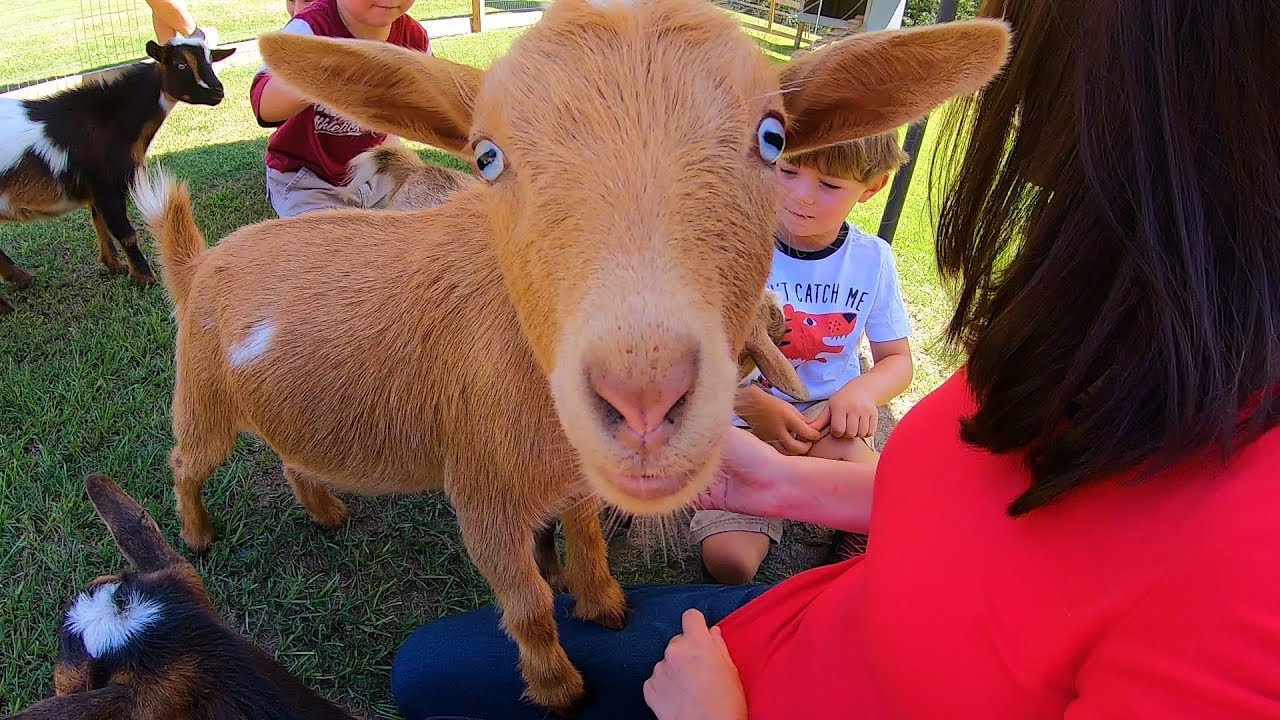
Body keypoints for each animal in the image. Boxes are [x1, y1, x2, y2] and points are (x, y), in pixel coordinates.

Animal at [0, 30, 234, 315]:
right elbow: (126, 233)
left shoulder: (96, 190)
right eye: (180, 64)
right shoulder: (107, 184)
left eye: (210, 58)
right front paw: (144, 277)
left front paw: (115, 265)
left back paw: (20, 281)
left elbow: (99, 222)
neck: (111, 118)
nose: (218, 92)